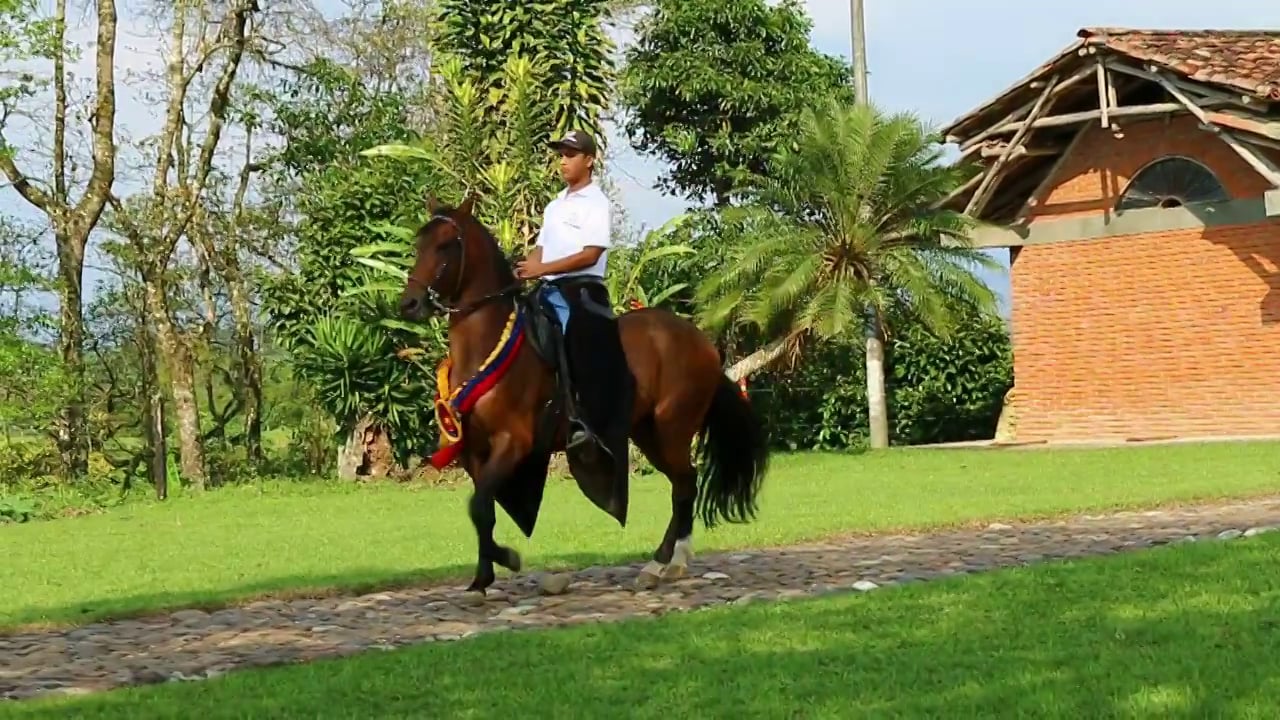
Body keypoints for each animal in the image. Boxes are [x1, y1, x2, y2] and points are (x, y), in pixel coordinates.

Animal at [397, 192, 770, 595]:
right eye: (419, 243)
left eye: (446, 245)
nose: (409, 304)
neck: (489, 343)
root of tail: (700, 341)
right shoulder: (472, 450)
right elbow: (484, 511)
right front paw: (484, 575)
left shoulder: (514, 442)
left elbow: (479, 506)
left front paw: (507, 560)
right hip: (648, 433)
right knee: (683, 483)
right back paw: (668, 563)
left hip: (672, 427)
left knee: (685, 484)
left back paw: (664, 563)